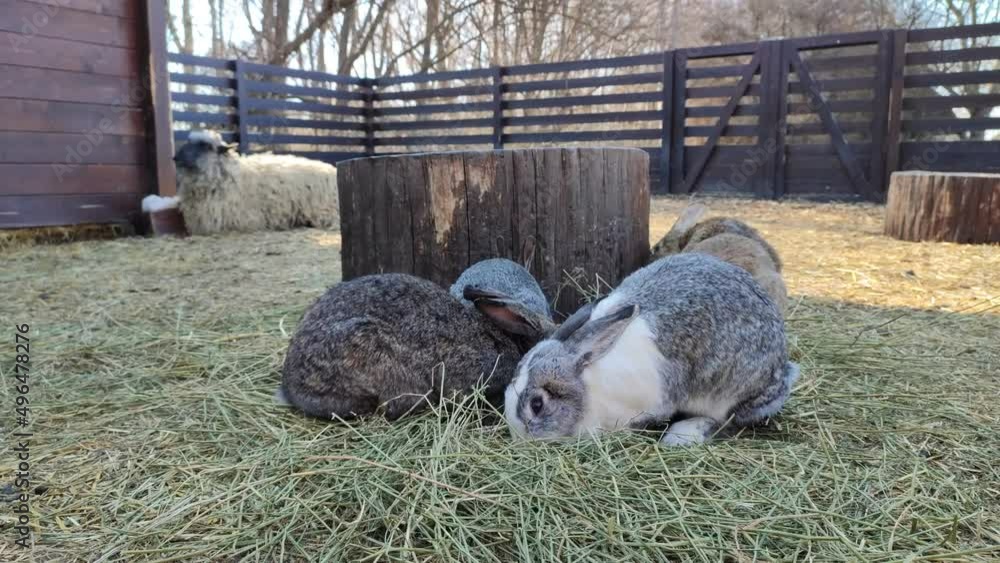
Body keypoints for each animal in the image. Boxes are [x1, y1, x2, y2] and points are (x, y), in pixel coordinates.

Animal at [504, 252, 799, 447]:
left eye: (537, 405)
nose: (519, 437)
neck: (586, 382)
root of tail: (783, 368)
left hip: (730, 394)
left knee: (725, 420)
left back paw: (682, 435)